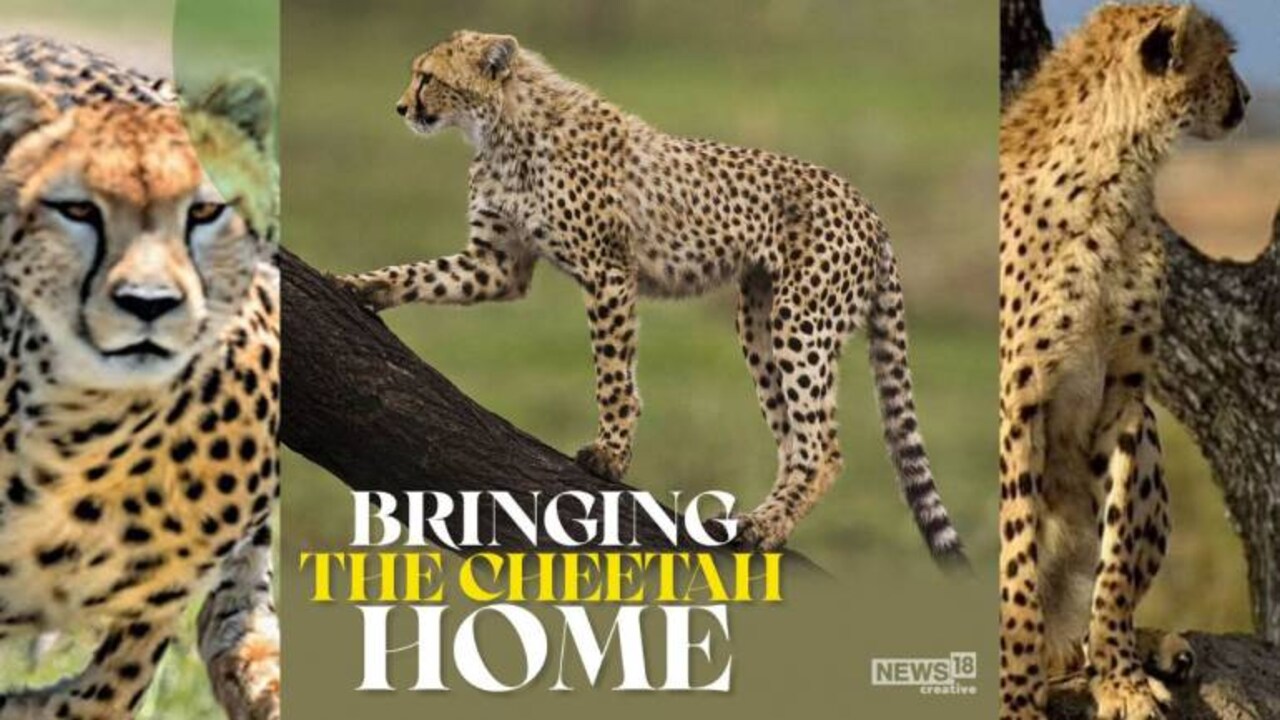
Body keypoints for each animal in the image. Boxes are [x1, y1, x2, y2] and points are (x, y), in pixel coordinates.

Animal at [337, 29, 967, 562]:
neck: (501, 126)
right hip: (758, 321)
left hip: (801, 319)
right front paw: (356, 285)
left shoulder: (608, 271)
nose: (401, 108)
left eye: (426, 77)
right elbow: (422, 273)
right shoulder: (497, 266)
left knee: (823, 448)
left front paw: (611, 456)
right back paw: (765, 520)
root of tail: (868, 207)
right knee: (795, 441)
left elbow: (614, 377)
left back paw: (767, 525)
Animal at [998, 5, 1247, 719]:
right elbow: (1016, 558)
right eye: (1224, 59)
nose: (1249, 99)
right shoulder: (1019, 400)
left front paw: (1122, 680)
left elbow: (1113, 566)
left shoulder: (1125, 395)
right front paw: (1017, 695)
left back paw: (1148, 645)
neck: (1115, 178)